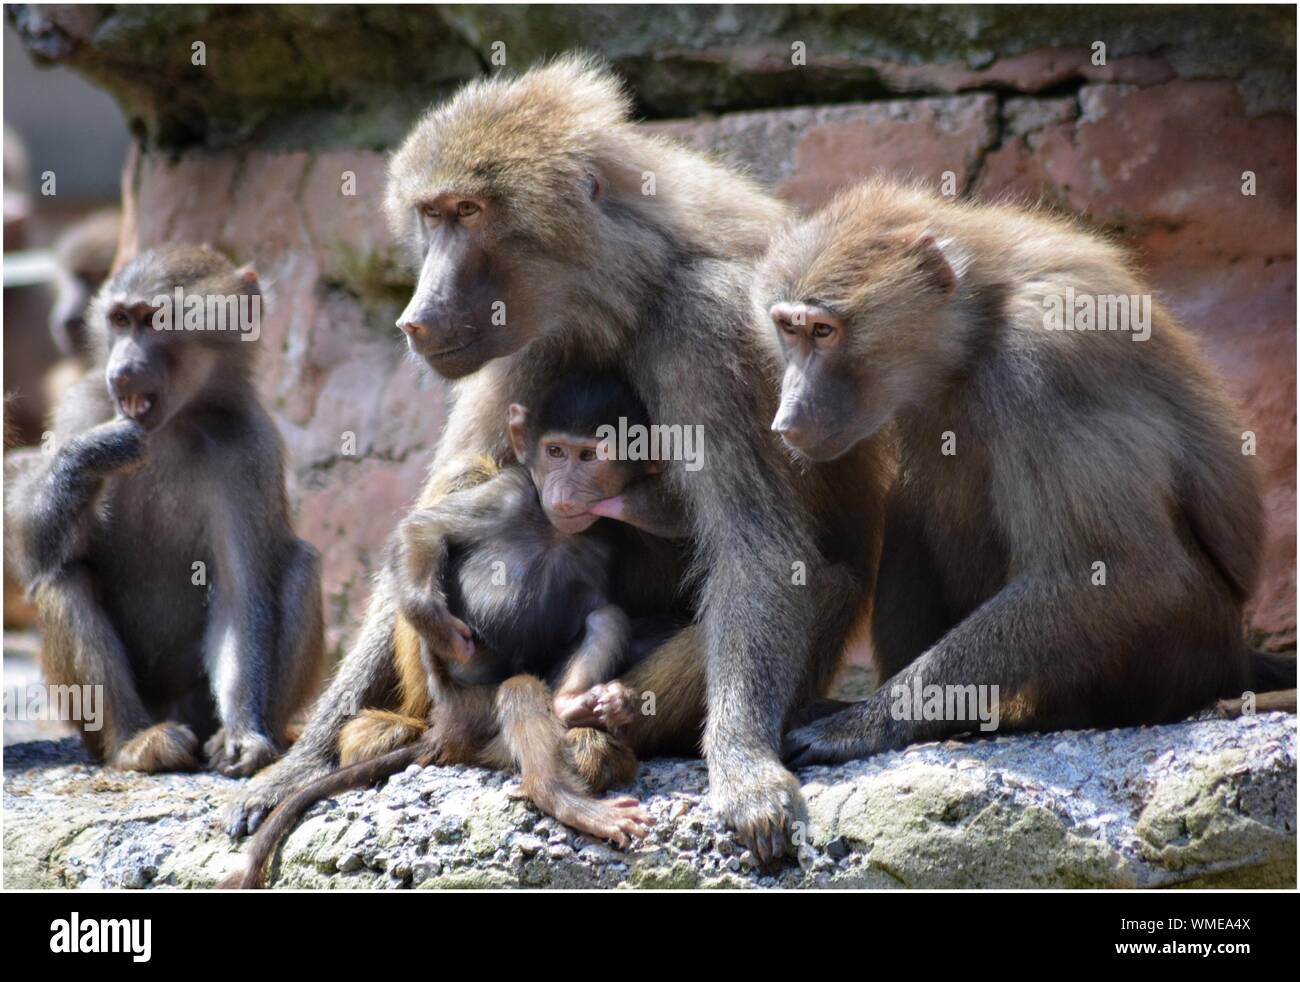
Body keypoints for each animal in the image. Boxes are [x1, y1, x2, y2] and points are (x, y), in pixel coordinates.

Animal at [4, 245, 325, 774]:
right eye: (119, 319)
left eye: (154, 319)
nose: (121, 372)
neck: (173, 424)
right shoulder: (81, 406)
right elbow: (35, 548)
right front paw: (97, 452)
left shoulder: (248, 446)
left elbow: (240, 590)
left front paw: (244, 734)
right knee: (63, 574)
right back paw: (136, 742)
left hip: (198, 703)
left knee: (301, 564)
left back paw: (255, 735)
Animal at [225, 372, 683, 887]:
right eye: (555, 452)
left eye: (590, 457)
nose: (564, 491)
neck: (554, 526)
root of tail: (445, 727)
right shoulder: (510, 491)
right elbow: (424, 532)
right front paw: (435, 622)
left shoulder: (611, 532)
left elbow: (617, 606)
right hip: (466, 704)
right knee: (518, 690)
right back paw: (563, 796)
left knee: (600, 624)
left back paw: (576, 703)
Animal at [752, 176, 1295, 766]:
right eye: (788, 330)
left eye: (823, 331)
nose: (786, 421)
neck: (982, 315)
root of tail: (1234, 653)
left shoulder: (1045, 359)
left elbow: (1118, 568)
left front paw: (859, 725)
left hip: (1184, 647)